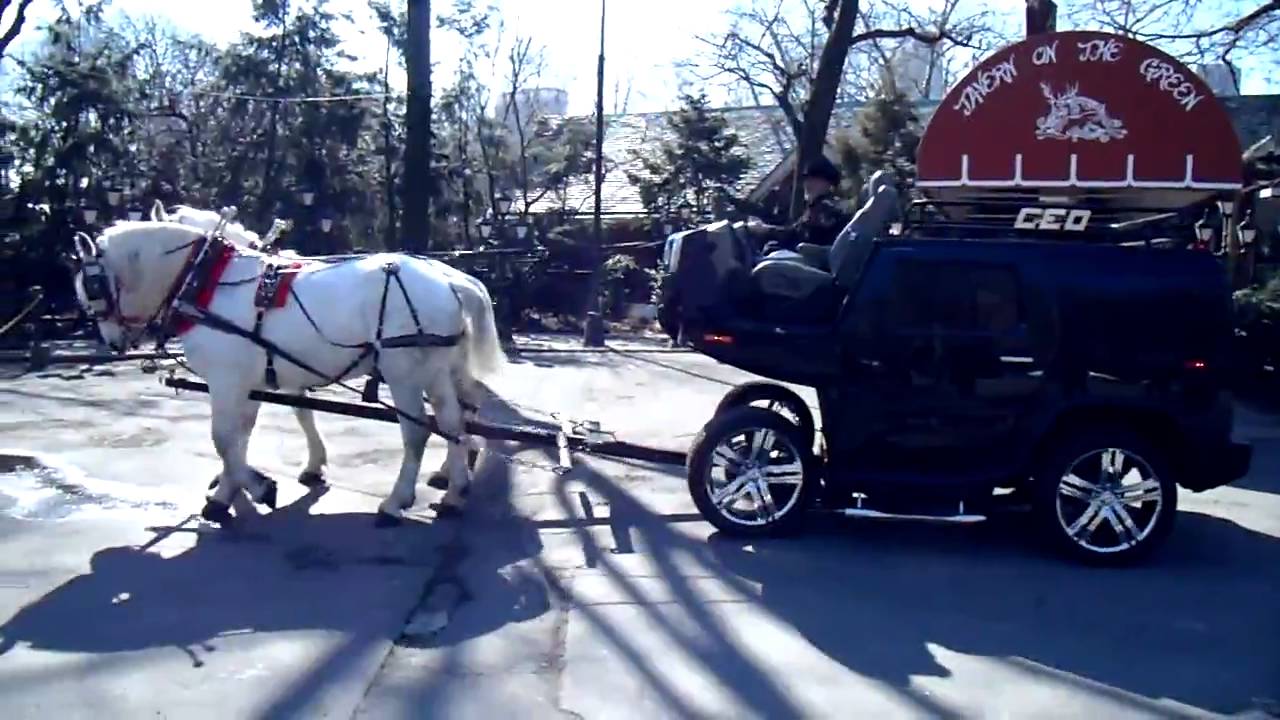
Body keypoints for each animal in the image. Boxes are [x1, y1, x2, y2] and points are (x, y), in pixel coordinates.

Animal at [70, 219, 506, 527]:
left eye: (92, 287)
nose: (112, 342)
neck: (207, 283)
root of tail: (450, 280)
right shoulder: (247, 382)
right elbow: (239, 438)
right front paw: (226, 493)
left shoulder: (226, 381)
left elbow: (224, 440)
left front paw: (256, 487)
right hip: (437, 370)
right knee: (452, 421)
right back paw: (454, 493)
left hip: (404, 374)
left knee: (417, 432)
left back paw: (395, 502)